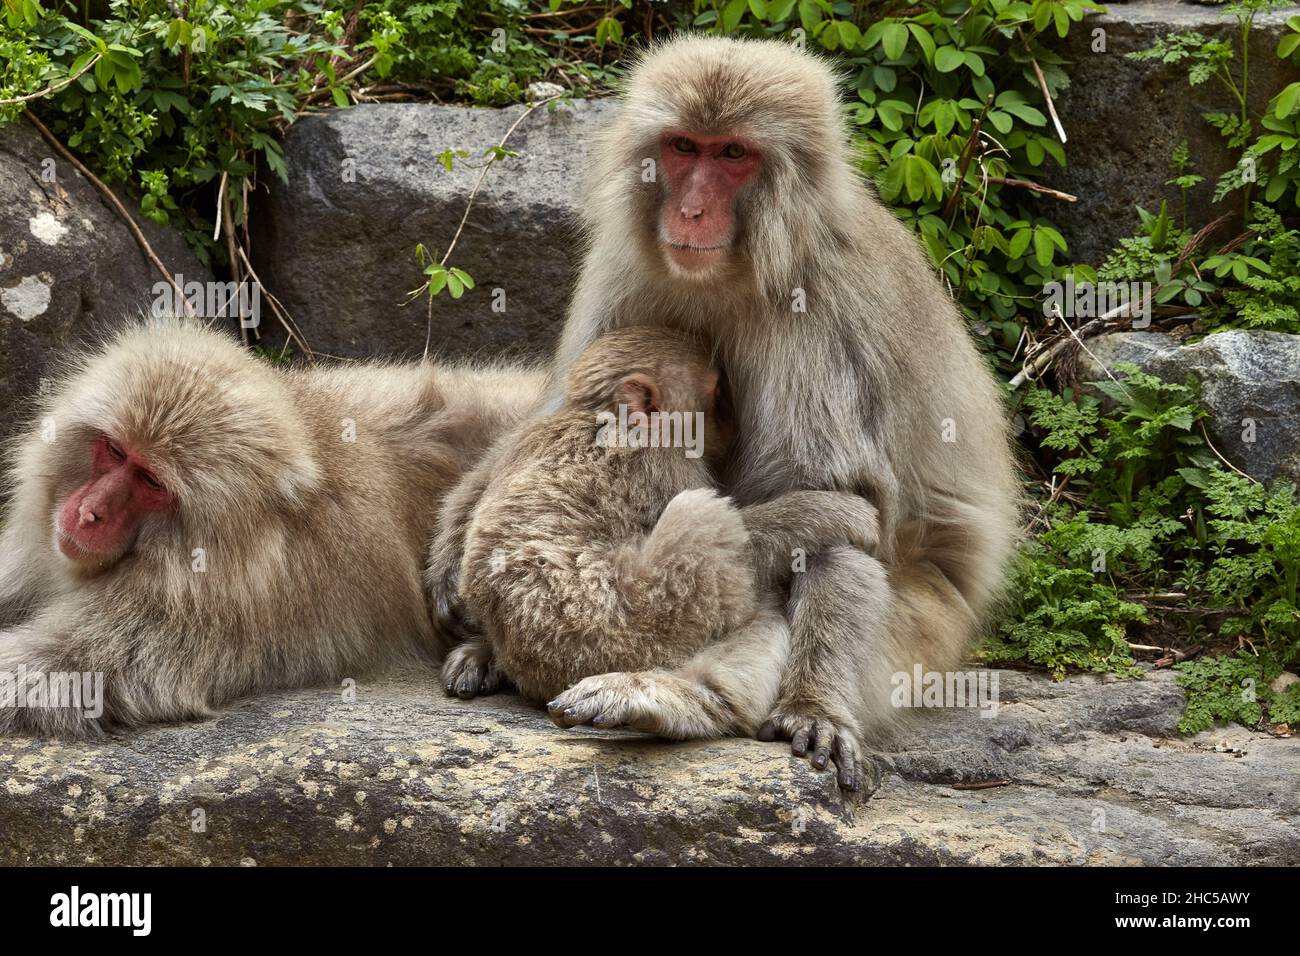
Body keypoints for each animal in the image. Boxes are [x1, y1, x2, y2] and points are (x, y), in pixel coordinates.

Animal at [433, 325, 877, 743]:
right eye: (718, 393)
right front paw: (832, 512)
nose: (732, 422)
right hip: (629, 632)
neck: (604, 415)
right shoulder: (662, 459)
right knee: (702, 523)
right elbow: (738, 533)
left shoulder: (527, 436)